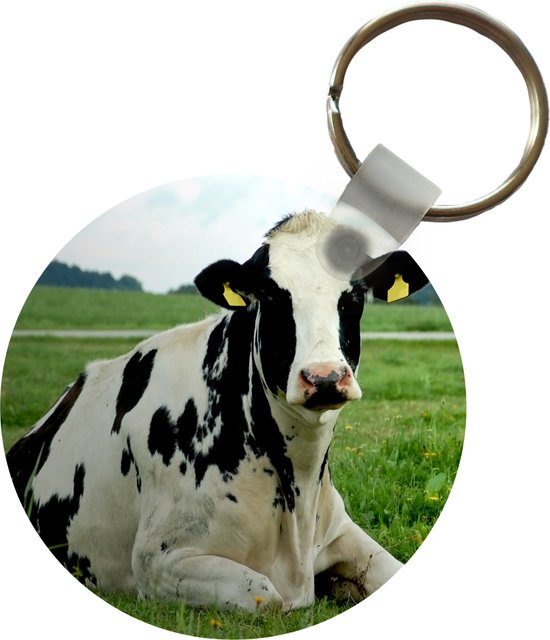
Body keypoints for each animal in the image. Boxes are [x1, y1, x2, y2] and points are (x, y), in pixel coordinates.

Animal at [6, 210, 428, 611]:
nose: (324, 377)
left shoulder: (339, 530)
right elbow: (268, 597)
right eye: (271, 296)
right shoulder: (158, 561)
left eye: (355, 295)